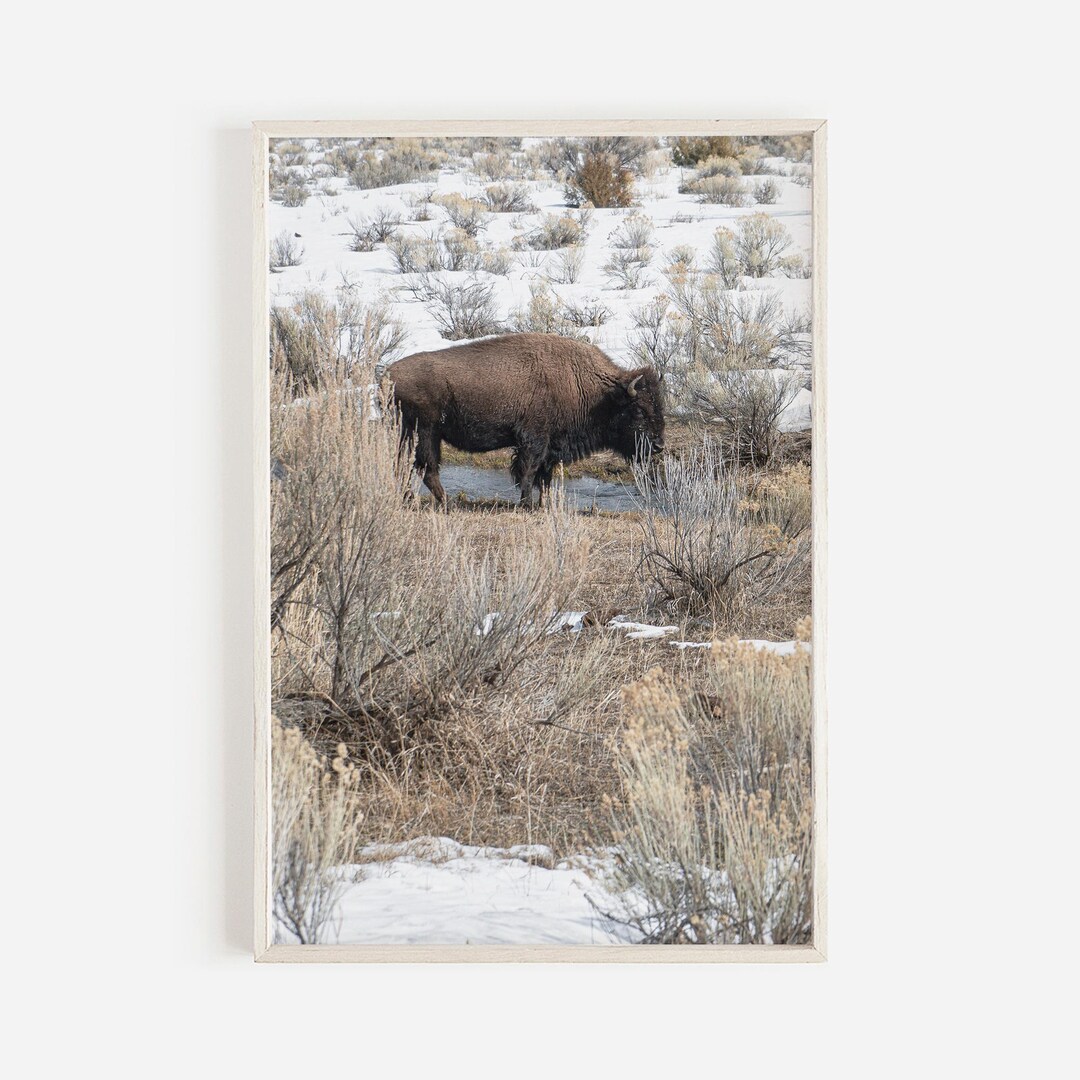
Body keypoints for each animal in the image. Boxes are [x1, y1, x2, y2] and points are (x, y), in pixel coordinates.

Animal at [387, 333, 665, 507]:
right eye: (639, 411)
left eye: (659, 406)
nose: (659, 445)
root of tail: (388, 375)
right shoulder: (533, 440)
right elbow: (529, 472)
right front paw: (527, 504)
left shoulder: (552, 446)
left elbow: (545, 478)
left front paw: (543, 504)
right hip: (425, 432)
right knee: (425, 468)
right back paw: (444, 503)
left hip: (414, 434)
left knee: (408, 466)